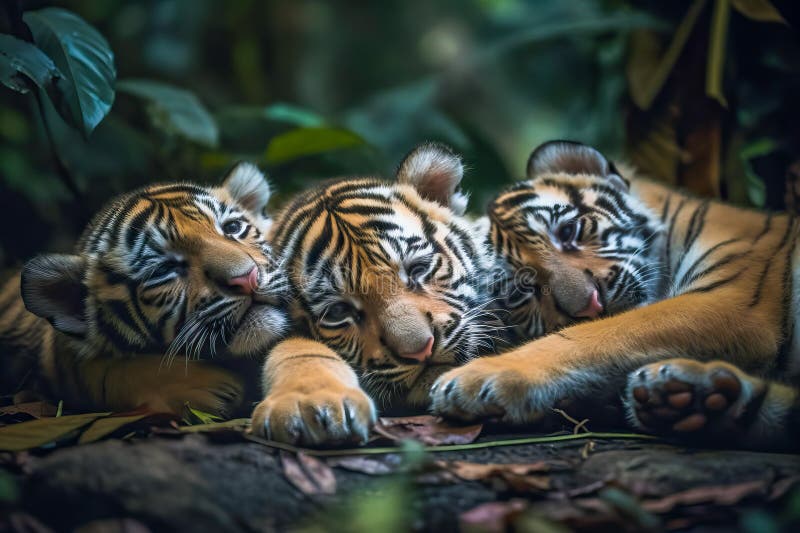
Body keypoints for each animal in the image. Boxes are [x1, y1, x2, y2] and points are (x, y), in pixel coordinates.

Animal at [429, 140, 800, 451]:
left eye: (569, 231)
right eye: (525, 289)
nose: (591, 304)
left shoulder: (731, 299)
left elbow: (590, 336)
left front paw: (473, 379)